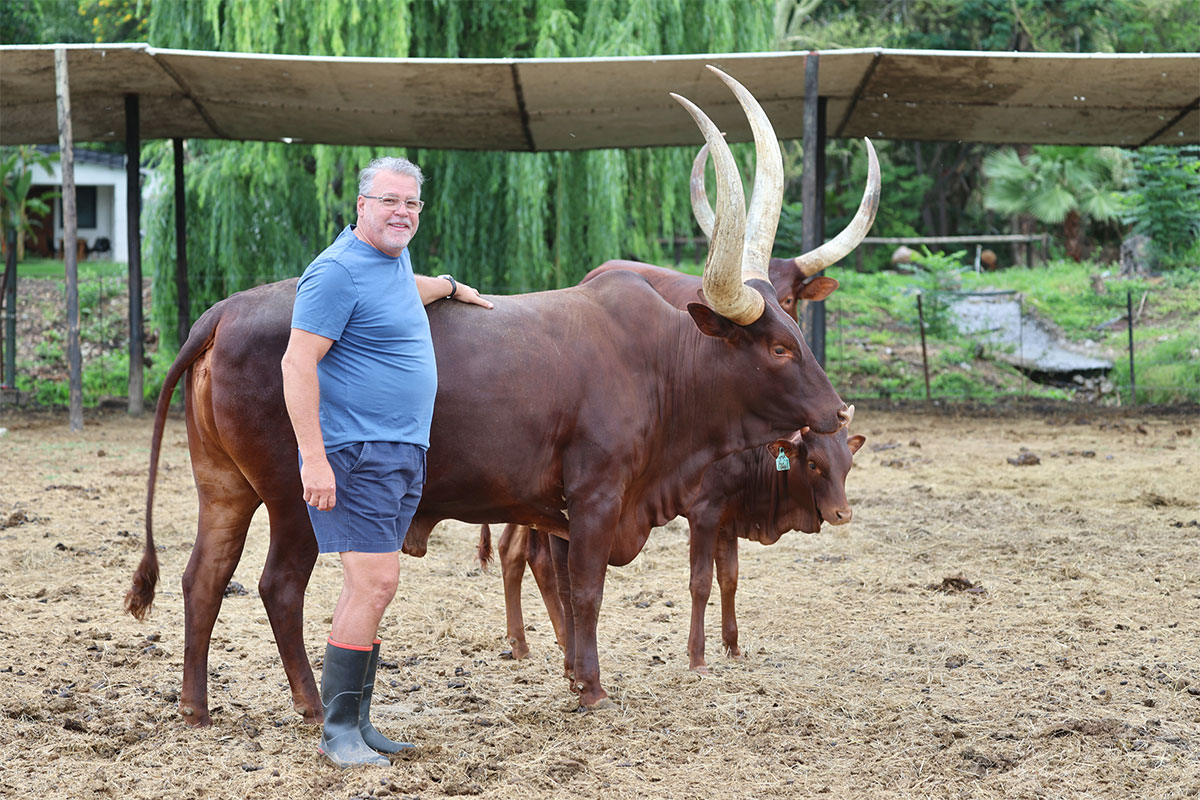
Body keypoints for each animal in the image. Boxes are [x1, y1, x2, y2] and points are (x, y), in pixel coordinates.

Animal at [480, 424, 865, 671]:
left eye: (847, 465)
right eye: (813, 464)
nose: (843, 513)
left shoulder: (727, 521)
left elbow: (729, 579)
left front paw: (733, 646)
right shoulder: (704, 515)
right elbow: (701, 584)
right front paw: (697, 657)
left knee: (515, 554)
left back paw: (527, 643)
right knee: (536, 560)